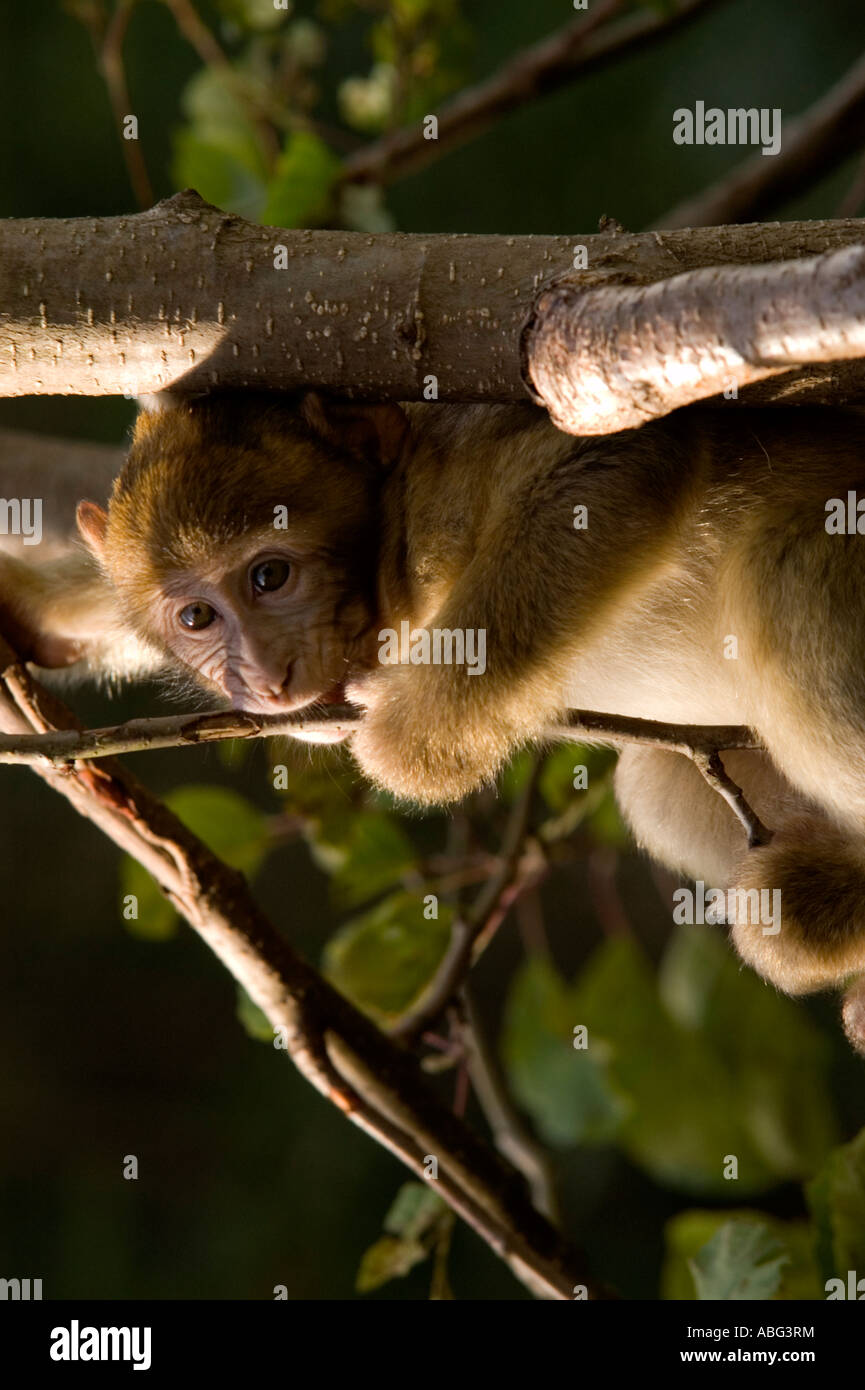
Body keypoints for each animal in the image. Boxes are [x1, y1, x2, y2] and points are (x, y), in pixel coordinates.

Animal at [5, 390, 865, 1050]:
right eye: (195, 618)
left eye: (270, 576)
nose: (268, 679)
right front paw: (31, 613)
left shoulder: (444, 490)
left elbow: (616, 464)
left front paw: (412, 744)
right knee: (659, 782)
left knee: (781, 571)